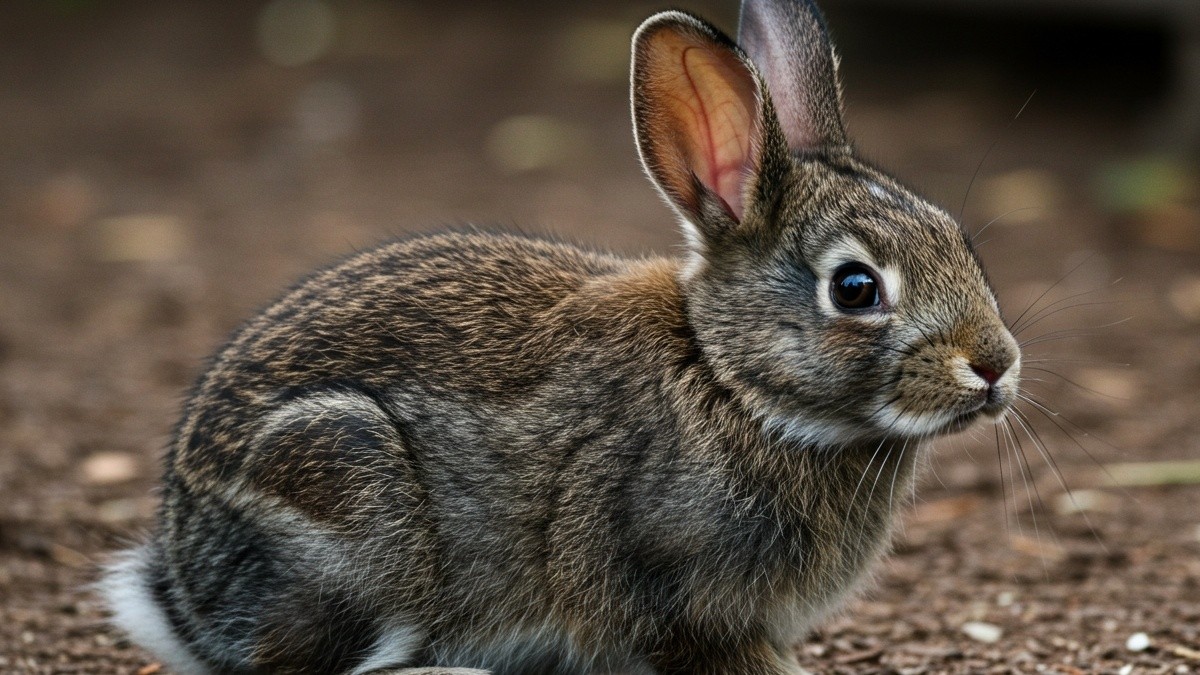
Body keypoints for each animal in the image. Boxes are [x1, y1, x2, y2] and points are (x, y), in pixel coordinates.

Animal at [100, 0, 1021, 673]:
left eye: (960, 242)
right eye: (856, 288)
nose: (995, 367)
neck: (732, 379)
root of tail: (182, 586)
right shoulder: (666, 589)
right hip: (348, 486)